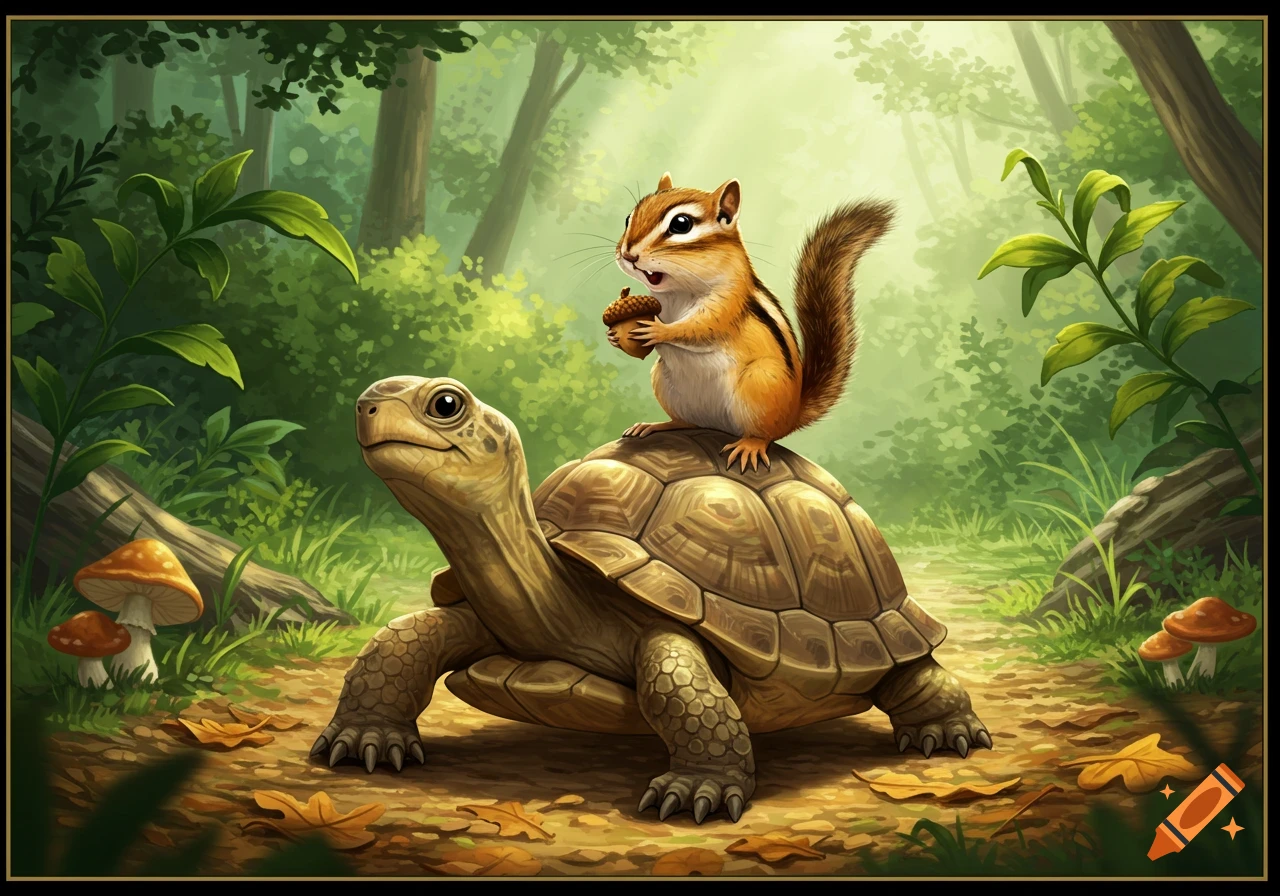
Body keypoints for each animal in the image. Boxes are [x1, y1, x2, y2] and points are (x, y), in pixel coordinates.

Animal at [612, 171, 894, 472]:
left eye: (681, 224)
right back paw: (656, 425)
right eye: (628, 217)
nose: (627, 254)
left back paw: (750, 445)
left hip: (760, 383)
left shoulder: (728, 303)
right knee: (688, 422)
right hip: (665, 382)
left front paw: (657, 330)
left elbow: (699, 329)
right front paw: (615, 336)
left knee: (764, 434)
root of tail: (793, 413)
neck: (677, 290)